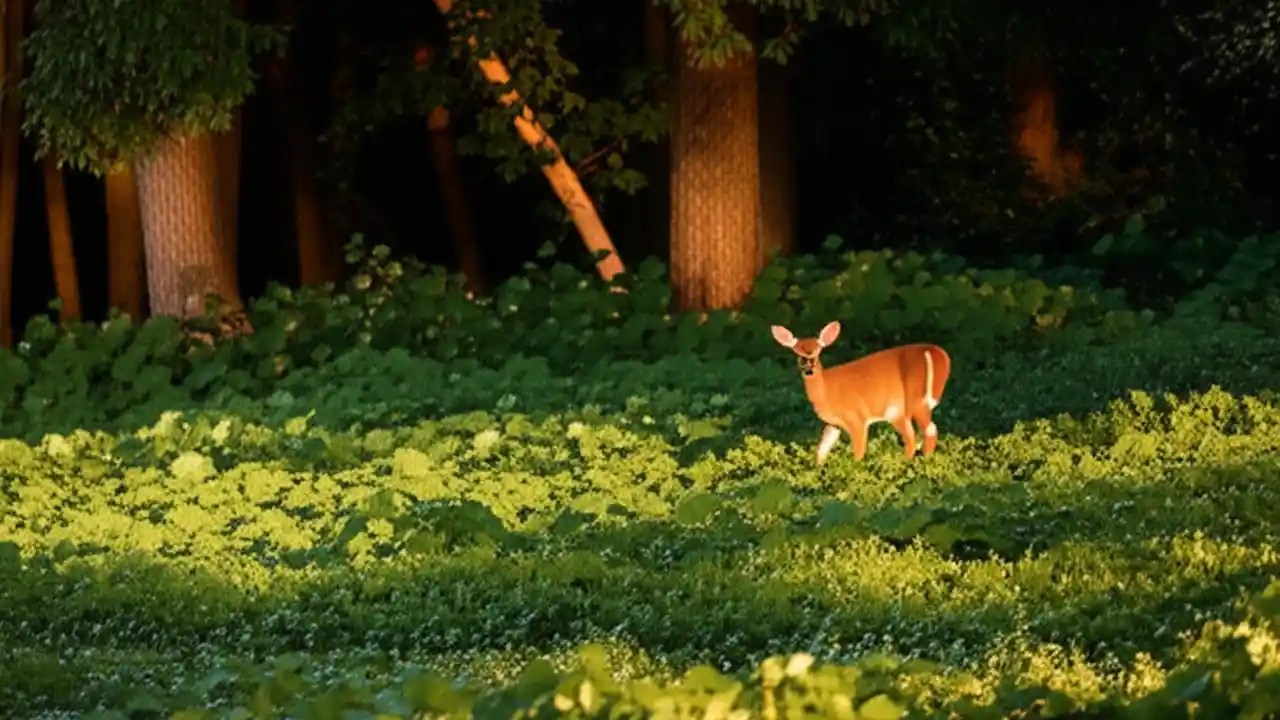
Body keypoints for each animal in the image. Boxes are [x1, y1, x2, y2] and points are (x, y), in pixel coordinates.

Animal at [770, 321, 951, 464]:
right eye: (797, 353)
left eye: (818, 350)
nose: (809, 368)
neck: (826, 391)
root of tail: (937, 355)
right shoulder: (834, 422)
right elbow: (822, 448)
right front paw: (817, 468)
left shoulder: (856, 417)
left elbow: (858, 451)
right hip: (899, 412)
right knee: (914, 437)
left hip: (916, 401)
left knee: (929, 430)